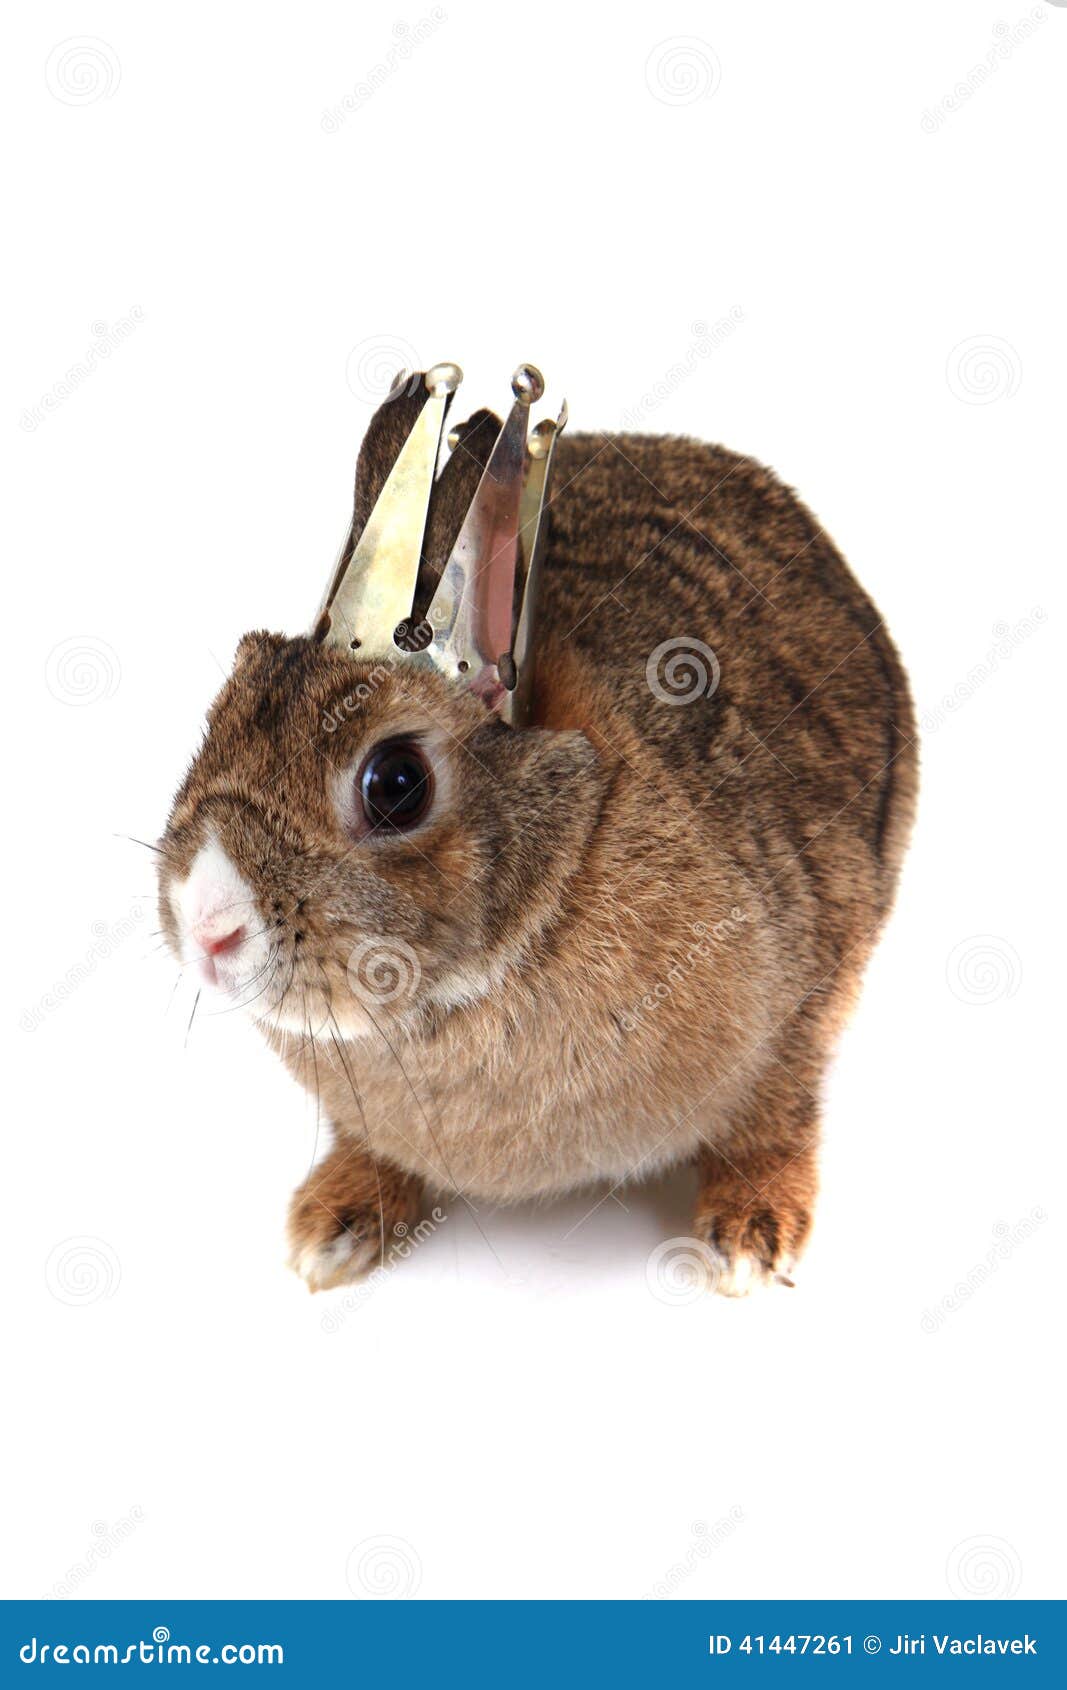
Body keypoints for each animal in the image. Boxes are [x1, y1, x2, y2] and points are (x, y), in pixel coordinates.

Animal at [157, 373, 917, 1296]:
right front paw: (331, 1228)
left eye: (396, 785)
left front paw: (745, 1241)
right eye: (224, 710)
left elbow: (774, 1117)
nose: (207, 927)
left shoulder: (801, 1003)